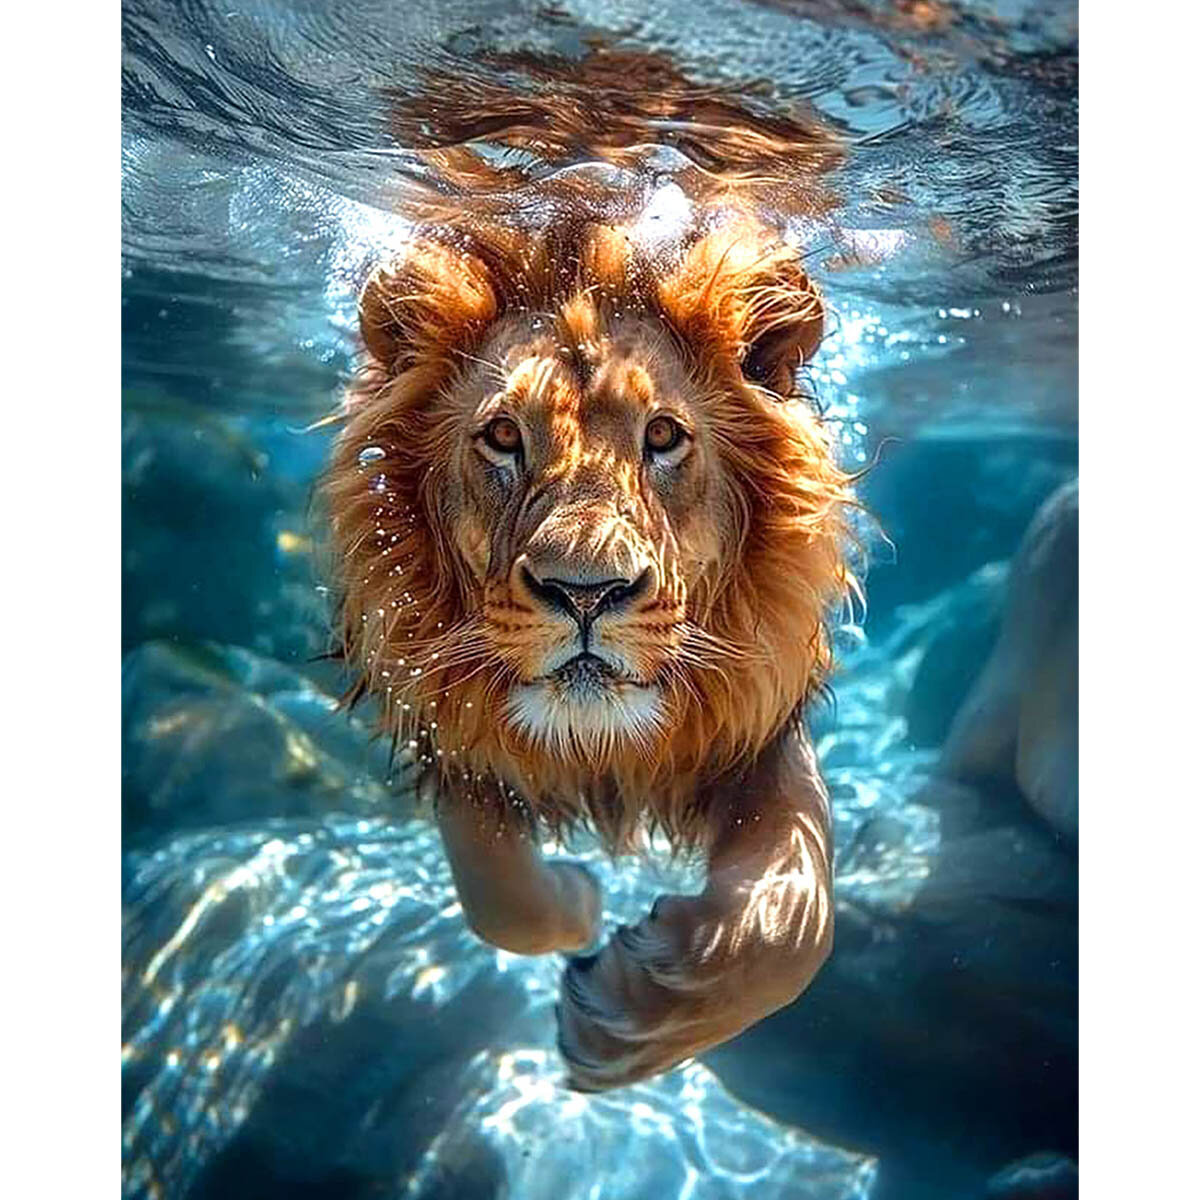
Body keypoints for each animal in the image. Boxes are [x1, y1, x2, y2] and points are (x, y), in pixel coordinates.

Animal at [321, 202, 857, 1091]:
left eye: (663, 436)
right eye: (504, 437)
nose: (584, 593)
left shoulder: (757, 733)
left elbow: (794, 934)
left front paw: (624, 1025)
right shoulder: (451, 734)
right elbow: (500, 898)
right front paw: (578, 909)